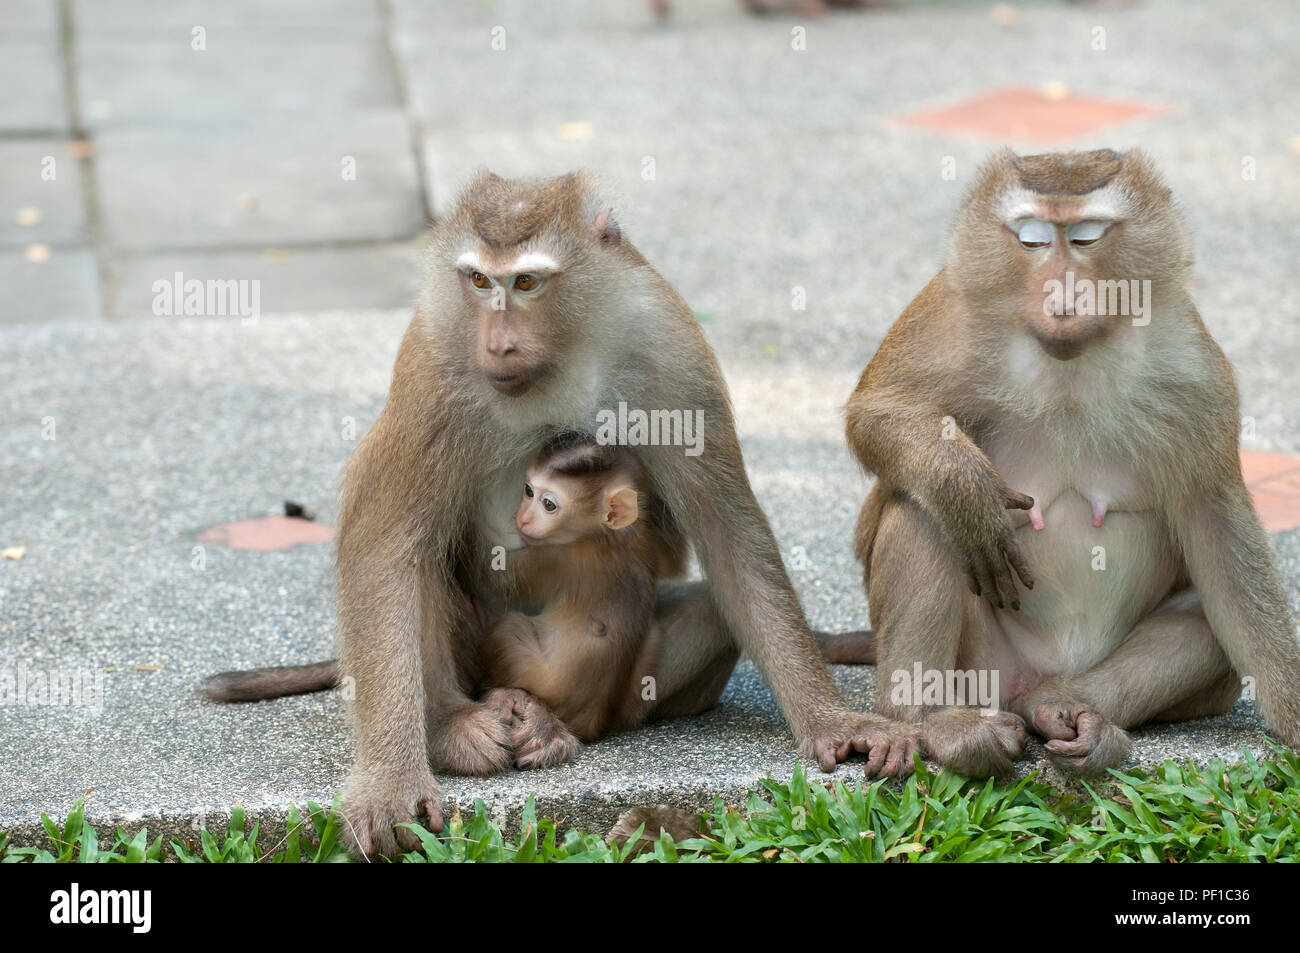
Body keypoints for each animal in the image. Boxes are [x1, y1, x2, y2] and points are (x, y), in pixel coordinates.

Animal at [476, 431, 688, 769]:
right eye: (528, 491)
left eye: (548, 504)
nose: (523, 519)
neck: (607, 535)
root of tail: (581, 724)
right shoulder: (647, 539)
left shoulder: (559, 557)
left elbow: (492, 575)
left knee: (508, 625)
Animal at [844, 148, 1300, 779]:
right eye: (1033, 240)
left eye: (1086, 237)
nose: (1063, 295)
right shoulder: (951, 310)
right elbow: (878, 412)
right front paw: (962, 485)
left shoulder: (1192, 367)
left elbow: (1217, 523)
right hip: (983, 667)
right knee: (922, 510)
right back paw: (938, 720)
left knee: (1207, 622)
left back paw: (1066, 710)